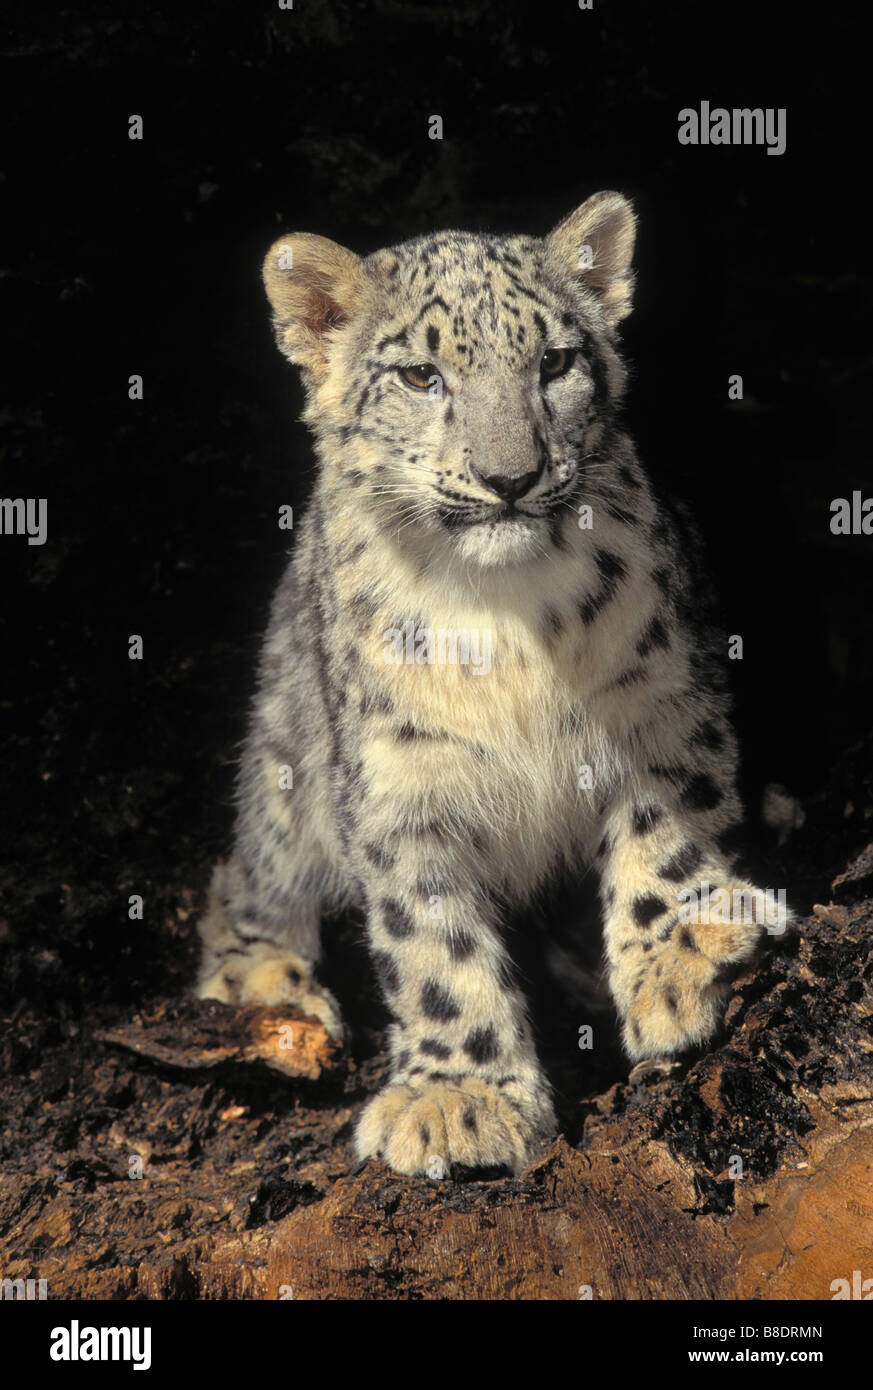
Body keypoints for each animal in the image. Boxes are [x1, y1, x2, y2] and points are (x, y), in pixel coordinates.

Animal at [195, 191, 787, 1177]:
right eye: (420, 376)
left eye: (554, 362)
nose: (509, 476)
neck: (508, 624)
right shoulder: (402, 781)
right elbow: (431, 942)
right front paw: (457, 1097)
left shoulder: (659, 702)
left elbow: (666, 831)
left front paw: (685, 949)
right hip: (285, 768)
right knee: (243, 882)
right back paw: (267, 983)